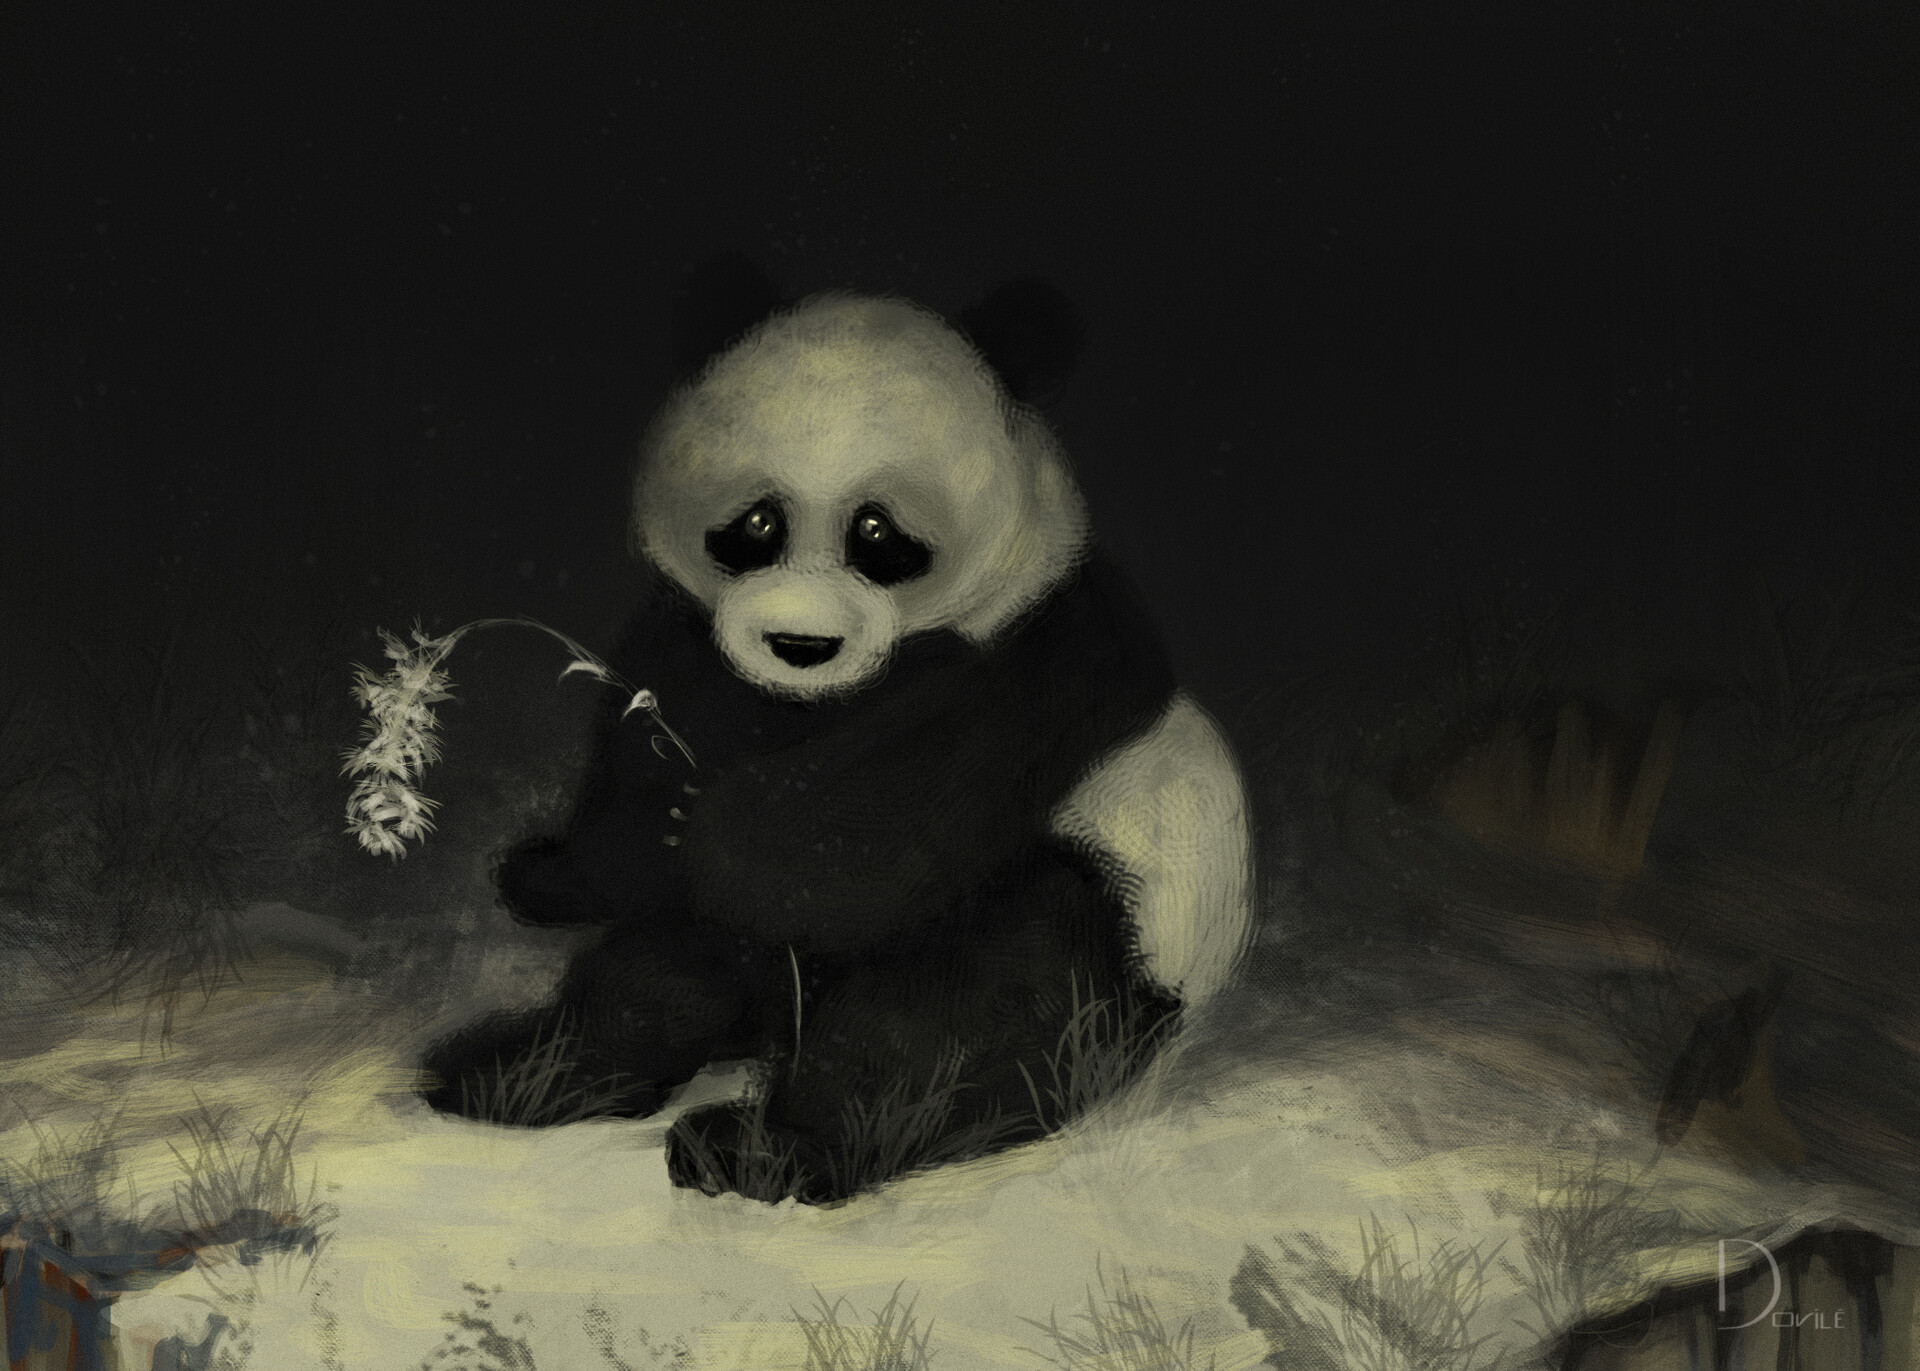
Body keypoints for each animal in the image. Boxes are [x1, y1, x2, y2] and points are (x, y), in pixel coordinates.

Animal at [421, 278, 1253, 1203]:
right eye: (757, 523)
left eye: (878, 534)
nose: (799, 644)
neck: (815, 705)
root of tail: (777, 1024)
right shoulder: (697, 647)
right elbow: (639, 766)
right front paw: (557, 867)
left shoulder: (1033, 654)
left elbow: (877, 833)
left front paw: (721, 832)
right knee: (660, 969)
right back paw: (520, 1071)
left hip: (1116, 923)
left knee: (950, 1013)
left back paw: (761, 1148)